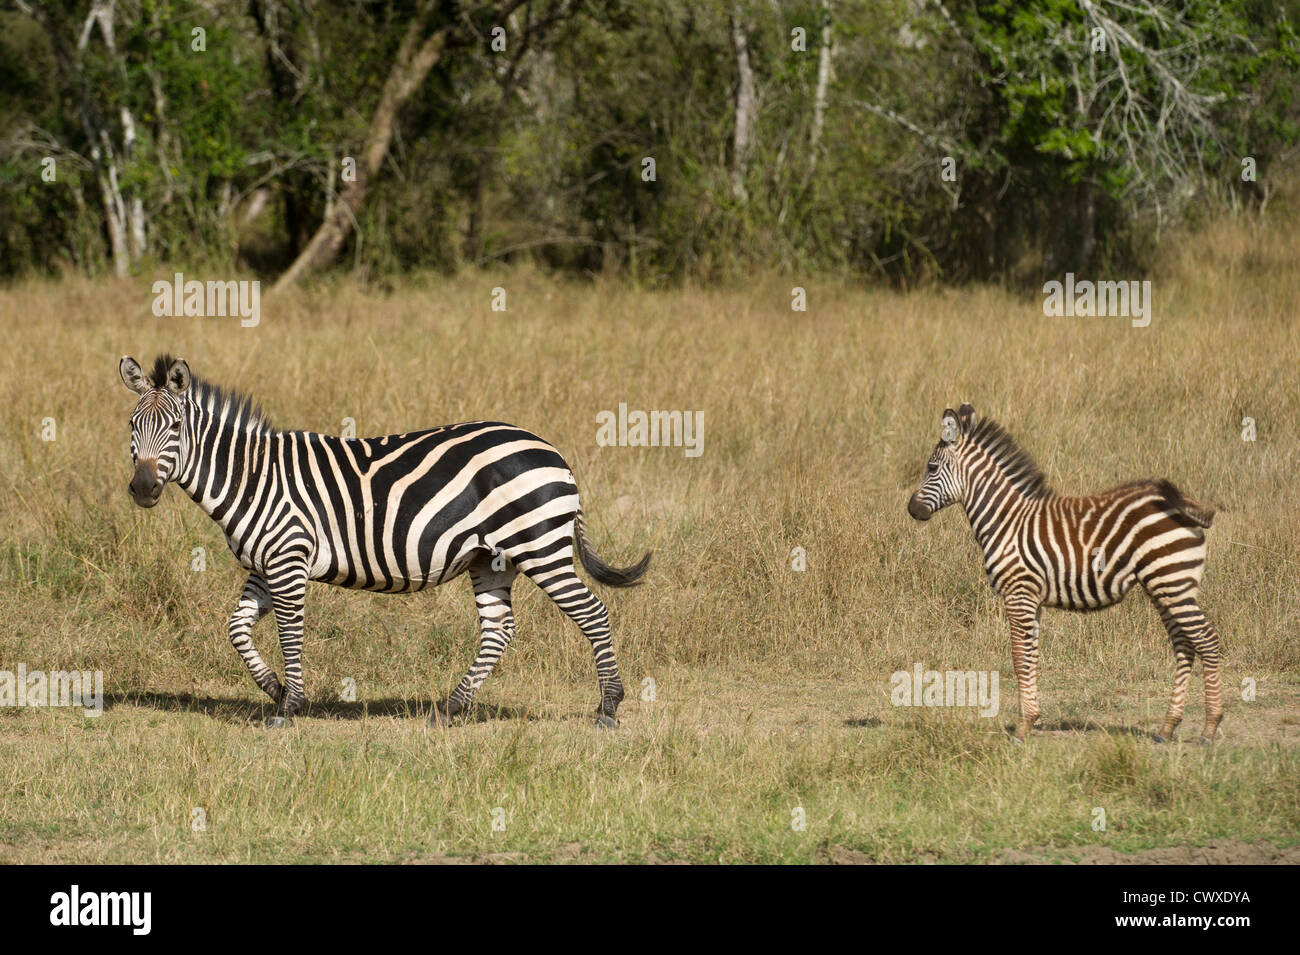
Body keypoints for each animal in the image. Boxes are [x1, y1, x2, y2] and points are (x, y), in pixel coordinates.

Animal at [119, 354, 650, 729]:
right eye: (131, 427)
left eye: (174, 427)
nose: (142, 489)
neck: (252, 477)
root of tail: (552, 450)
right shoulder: (264, 566)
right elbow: (236, 629)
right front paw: (274, 689)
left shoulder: (289, 558)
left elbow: (290, 634)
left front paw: (289, 707)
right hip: (491, 558)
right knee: (499, 629)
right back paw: (450, 709)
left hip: (540, 546)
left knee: (592, 612)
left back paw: (608, 708)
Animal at [907, 404, 1223, 744]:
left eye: (932, 468)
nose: (912, 509)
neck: (1006, 520)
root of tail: (1185, 502)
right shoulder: (1031, 598)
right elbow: (1031, 656)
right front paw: (1032, 718)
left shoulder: (1018, 593)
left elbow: (1018, 658)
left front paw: (1022, 727)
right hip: (1165, 585)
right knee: (1184, 643)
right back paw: (1167, 726)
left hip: (1171, 581)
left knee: (1206, 641)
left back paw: (1210, 727)